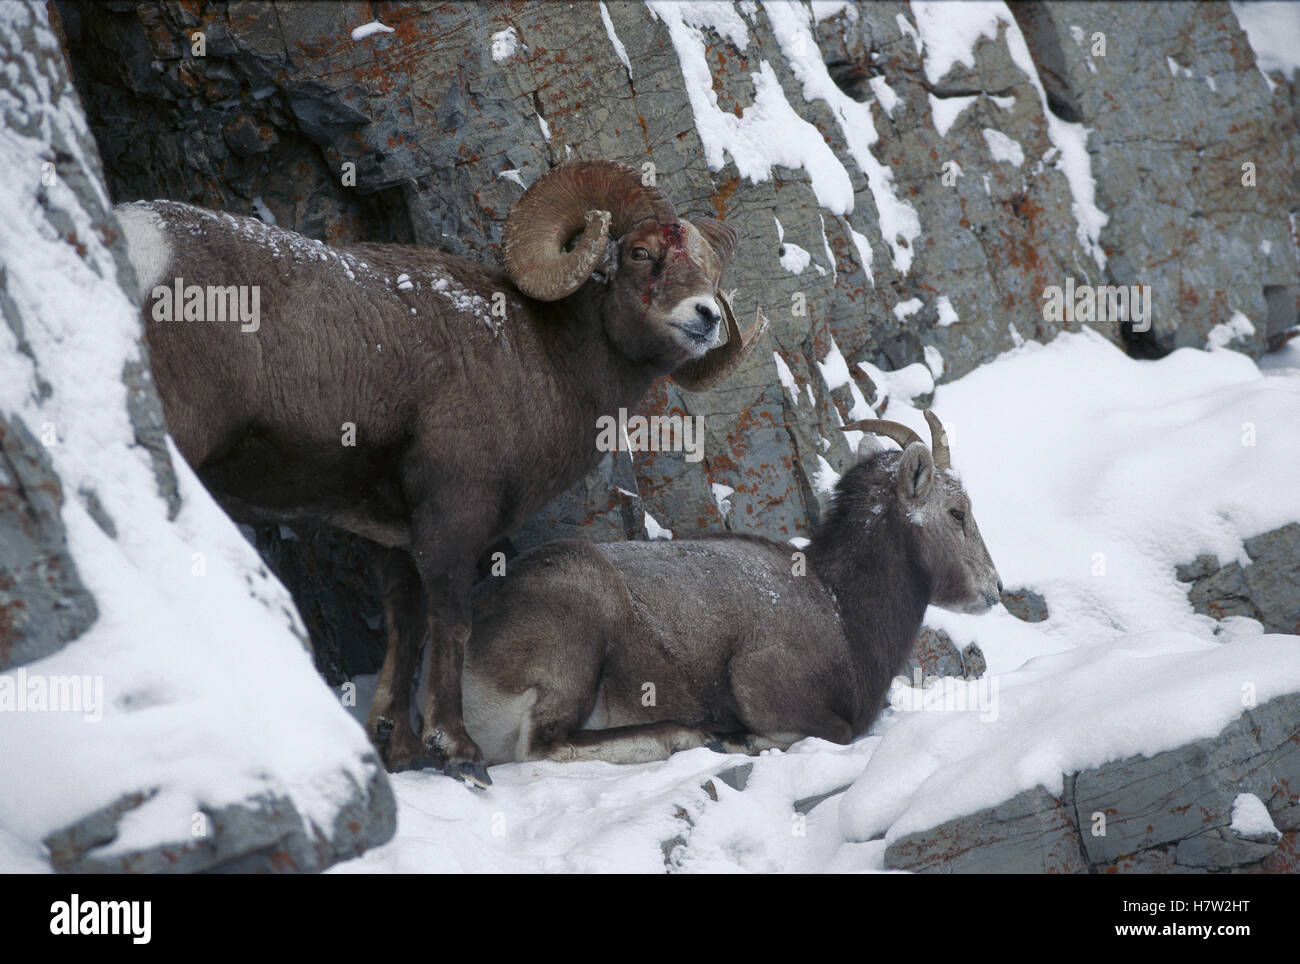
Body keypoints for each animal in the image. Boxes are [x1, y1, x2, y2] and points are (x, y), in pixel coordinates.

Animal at [114, 160, 764, 784]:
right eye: (641, 253)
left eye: (710, 273)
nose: (706, 317)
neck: (545, 359)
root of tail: (135, 238)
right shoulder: (453, 518)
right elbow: (450, 623)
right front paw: (459, 754)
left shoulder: (393, 540)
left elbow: (407, 629)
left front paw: (400, 752)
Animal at [460, 412, 1002, 765]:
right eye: (958, 512)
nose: (995, 588)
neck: (839, 608)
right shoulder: (763, 682)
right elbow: (836, 731)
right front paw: (739, 739)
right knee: (543, 746)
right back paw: (688, 736)